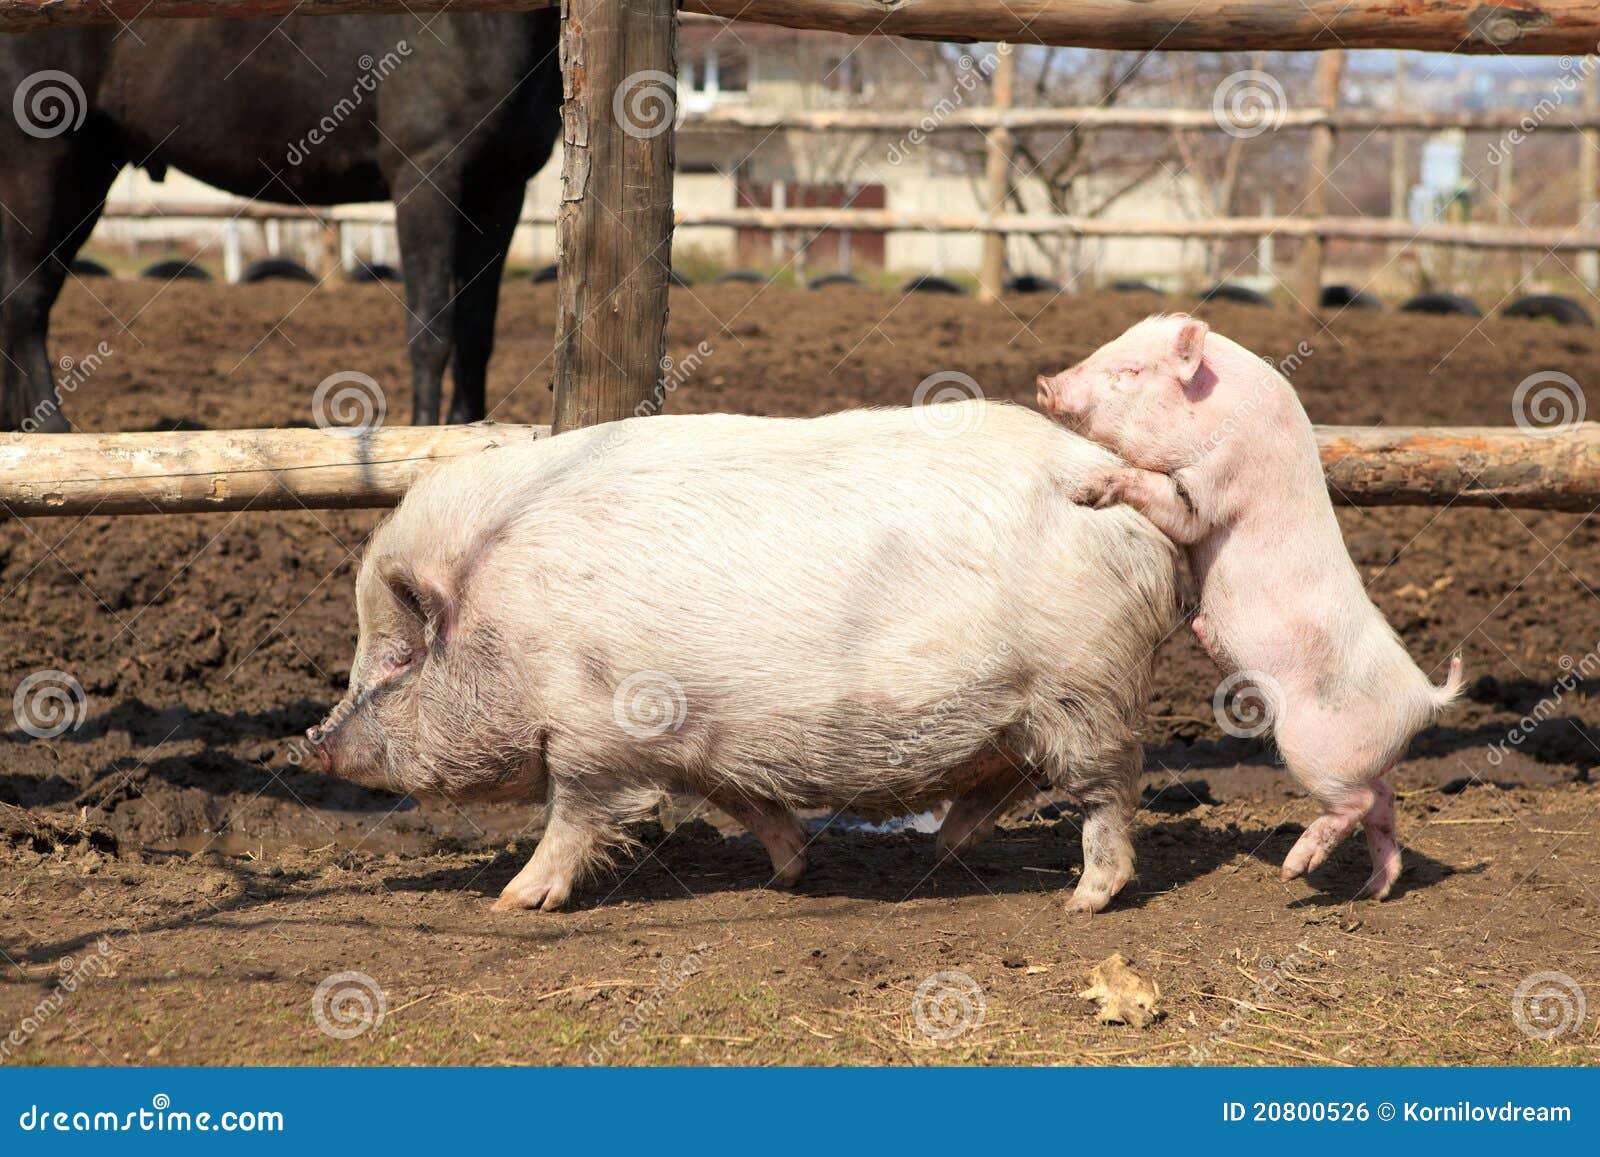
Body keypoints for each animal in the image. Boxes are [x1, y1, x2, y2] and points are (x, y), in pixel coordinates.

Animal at [308, 401, 1183, 913]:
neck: (515, 622)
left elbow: (575, 816)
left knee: (1109, 790)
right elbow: (750, 804)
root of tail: (1122, 498)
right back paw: (946, 850)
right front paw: (787, 875)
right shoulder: (704, 740)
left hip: (1087, 689)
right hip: (1031, 706)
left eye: (399, 660)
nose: (312, 740)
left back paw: (1082, 902)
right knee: (1014, 778)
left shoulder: (596, 737)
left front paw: (511, 901)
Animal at [1036, 314, 1463, 900]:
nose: (1044, 382)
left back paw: (1294, 871)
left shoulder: (1212, 483)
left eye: (1132, 371)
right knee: (1383, 802)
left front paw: (1089, 489)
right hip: (1361, 760)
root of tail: (1423, 698)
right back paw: (1375, 888)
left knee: (1354, 803)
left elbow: (1176, 506)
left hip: (1314, 743)